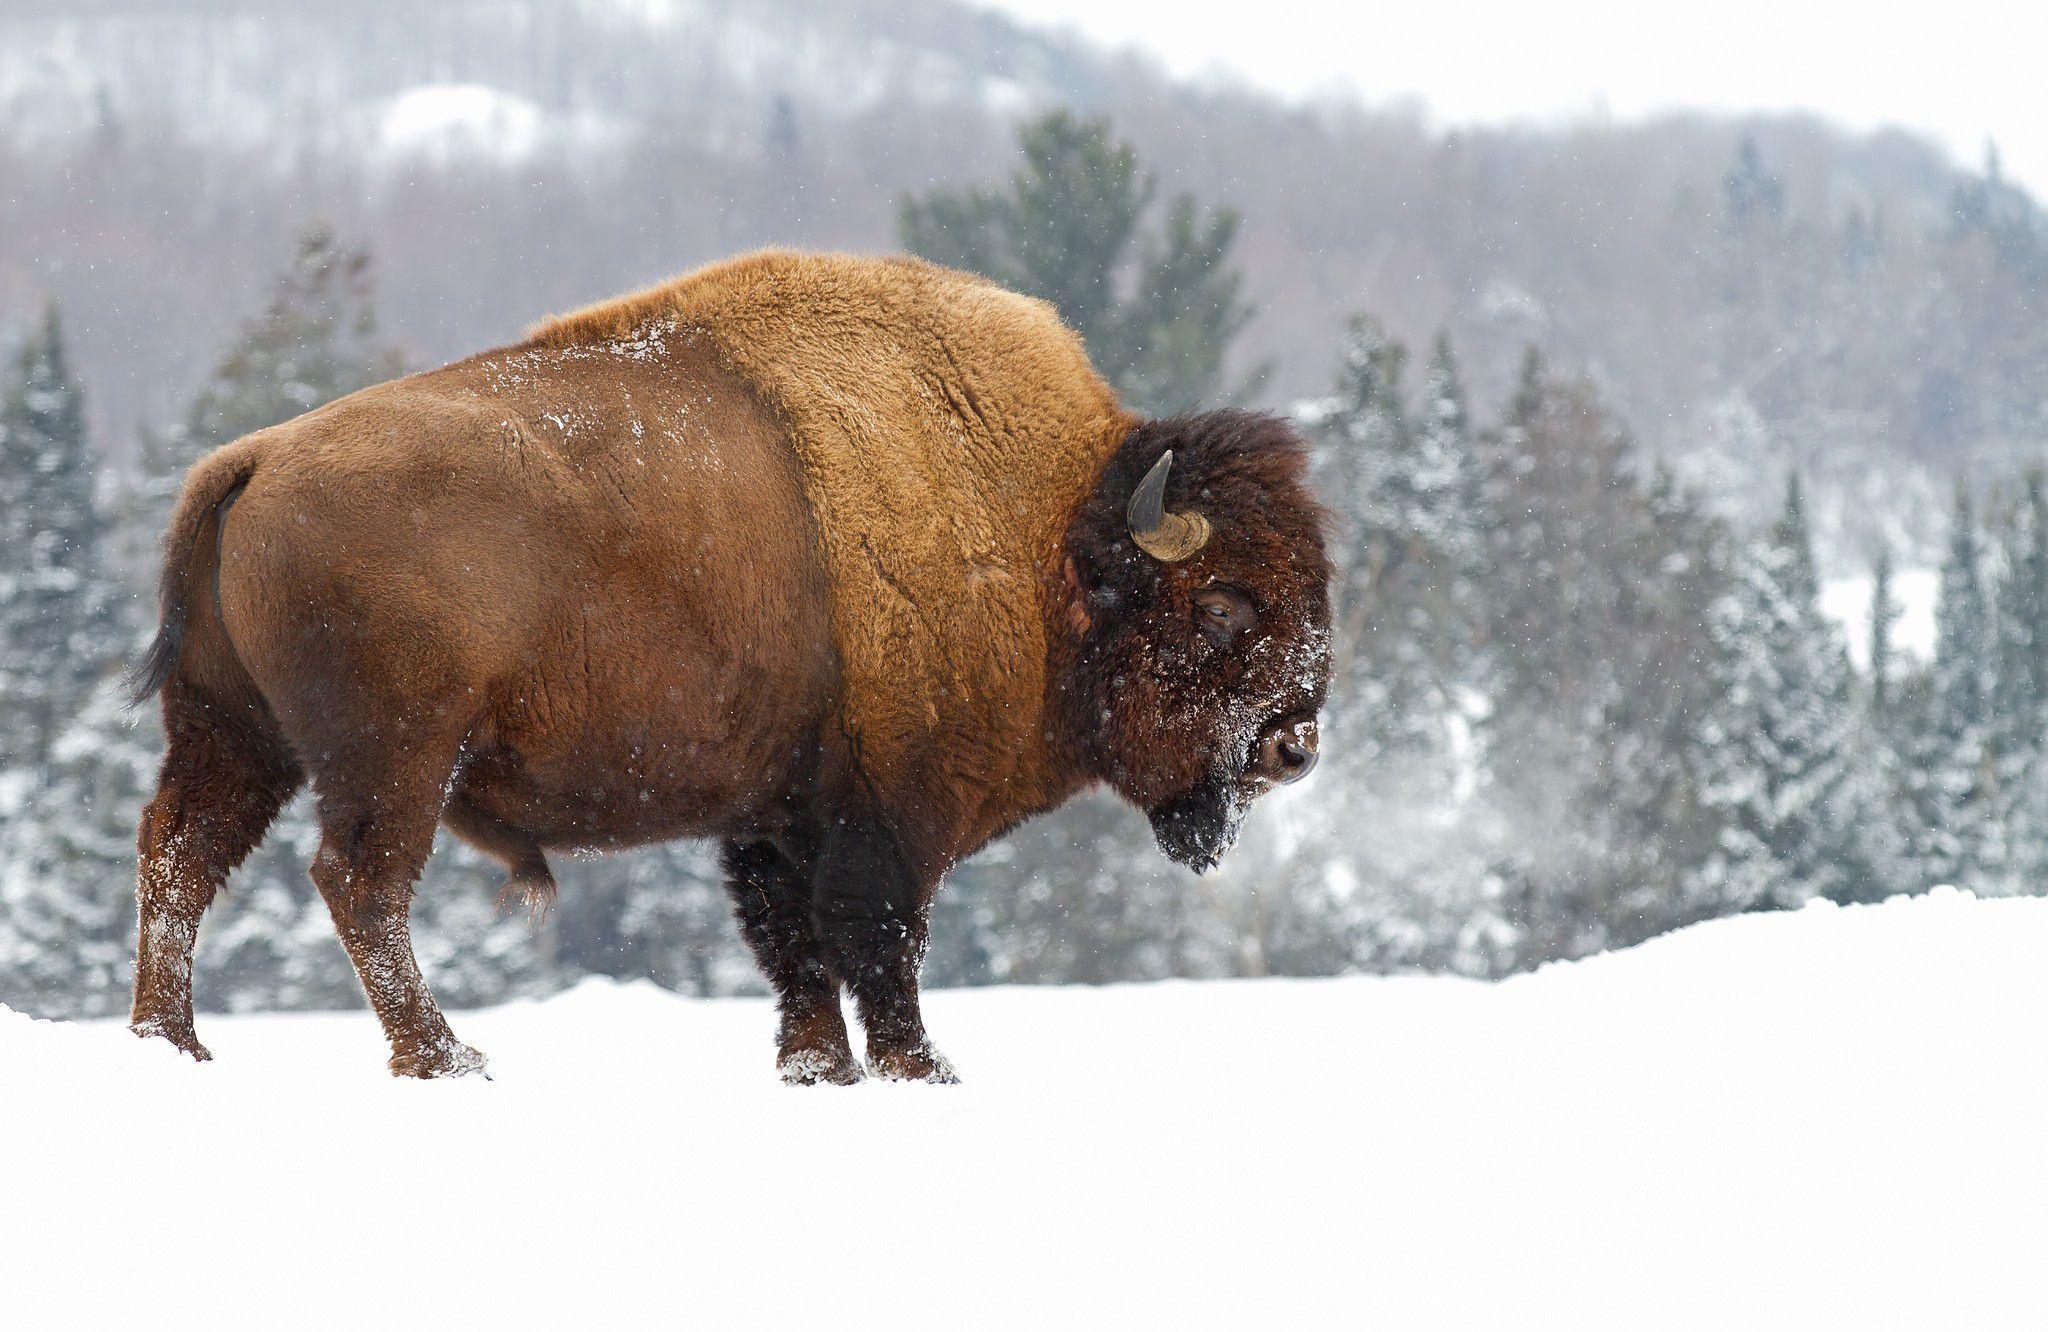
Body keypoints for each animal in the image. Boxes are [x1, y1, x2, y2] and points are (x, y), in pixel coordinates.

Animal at [127, 251, 1332, 1080]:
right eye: (1221, 604)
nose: (1297, 742)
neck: (1046, 533)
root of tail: (254, 460)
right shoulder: (890, 812)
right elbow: (878, 940)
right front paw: (920, 1068)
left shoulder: (776, 811)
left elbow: (792, 944)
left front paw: (818, 1069)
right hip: (394, 756)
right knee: (359, 883)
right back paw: (443, 1057)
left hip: (237, 737)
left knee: (180, 857)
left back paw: (171, 1044)